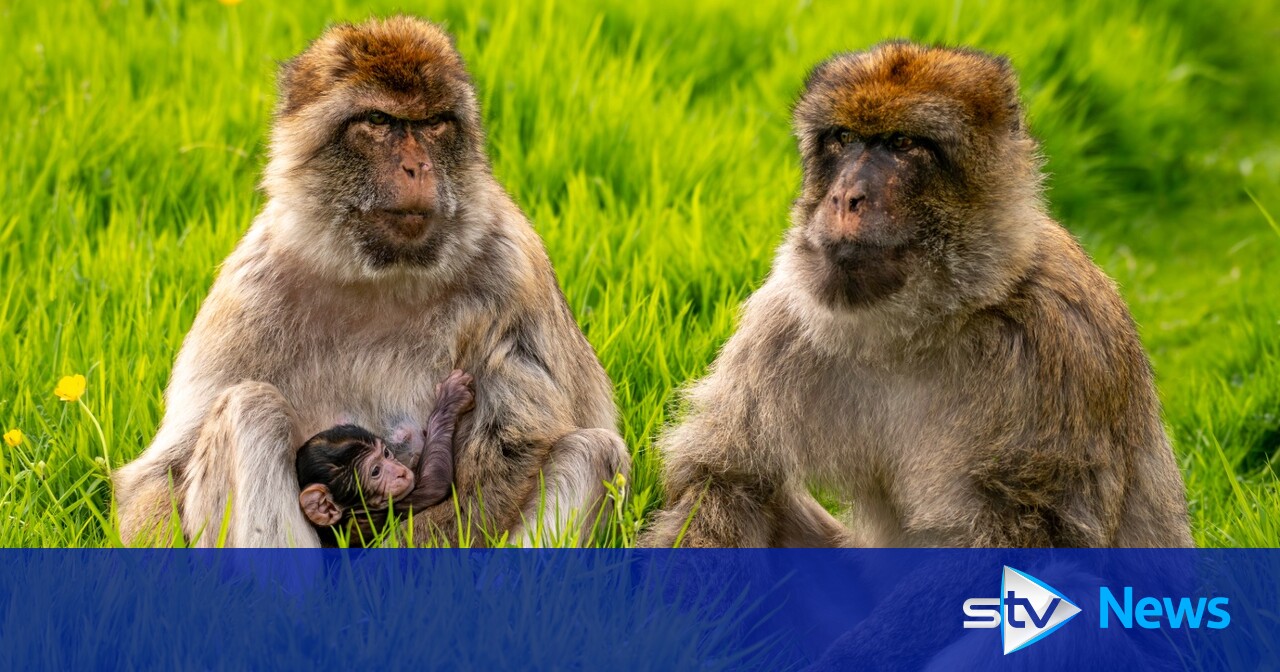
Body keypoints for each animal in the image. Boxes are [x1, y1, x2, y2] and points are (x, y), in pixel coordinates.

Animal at [296, 369, 474, 547]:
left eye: (386, 454)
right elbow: (434, 485)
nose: (400, 472)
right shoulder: (377, 515)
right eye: (375, 471)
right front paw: (450, 399)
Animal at [642, 41, 1193, 549]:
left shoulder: (1054, 346)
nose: (845, 197)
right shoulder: (783, 323)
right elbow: (732, 480)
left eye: (903, 143)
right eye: (844, 138)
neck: (921, 328)